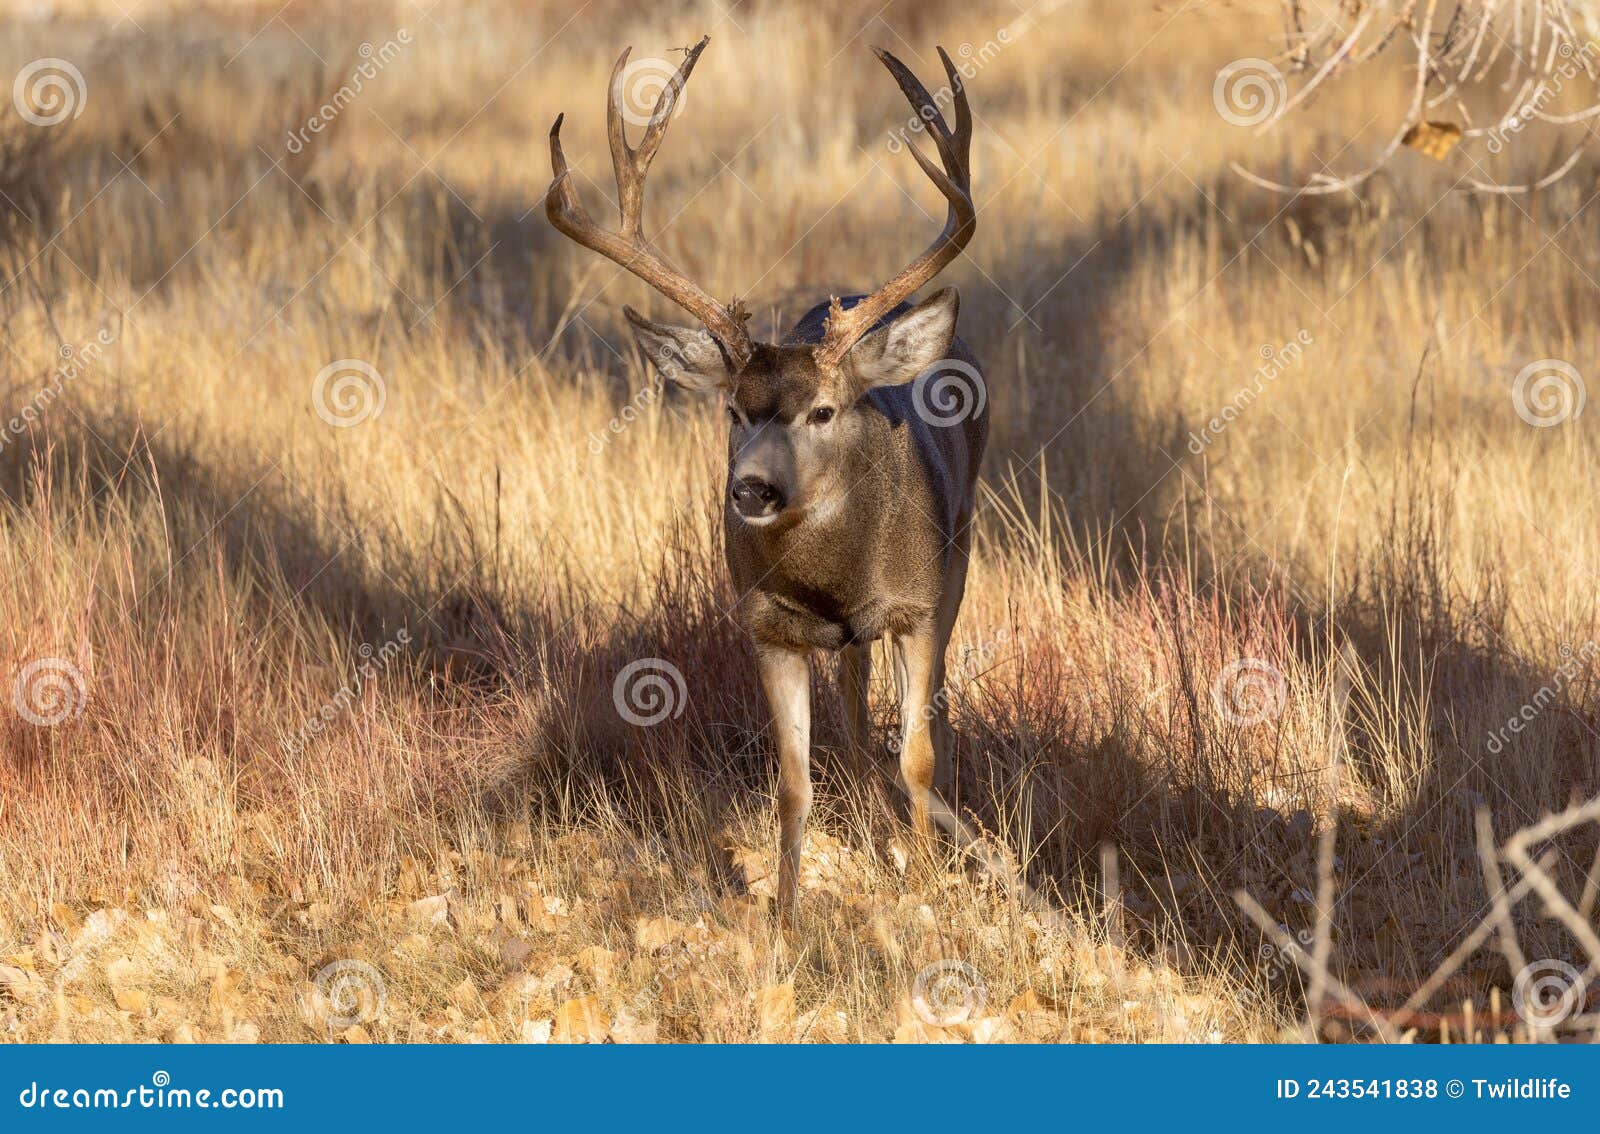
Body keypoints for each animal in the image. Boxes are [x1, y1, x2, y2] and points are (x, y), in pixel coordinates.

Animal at [546, 35, 983, 921]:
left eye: (822, 410)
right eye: (732, 411)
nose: (751, 490)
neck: (836, 583)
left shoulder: (917, 605)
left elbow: (917, 753)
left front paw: (925, 888)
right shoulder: (766, 626)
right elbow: (791, 780)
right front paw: (784, 914)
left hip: (960, 556)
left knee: (925, 716)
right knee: (852, 713)